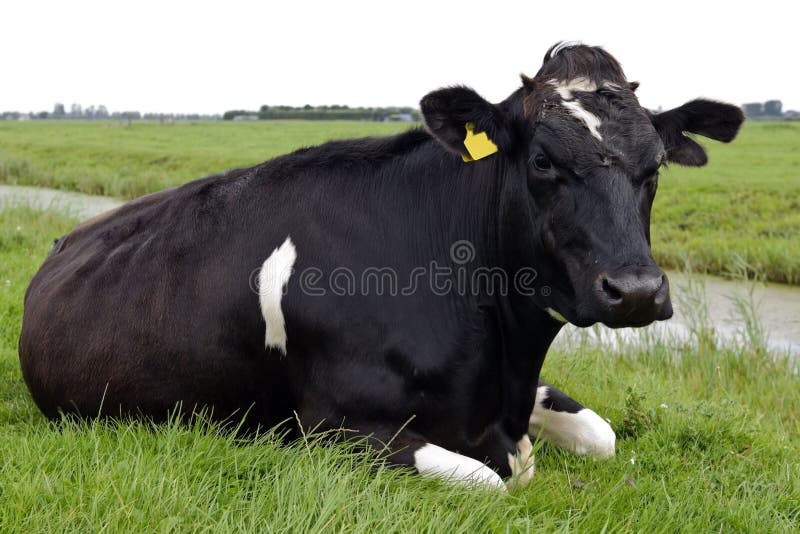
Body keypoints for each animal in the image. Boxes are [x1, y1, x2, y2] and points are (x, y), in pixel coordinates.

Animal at [19, 43, 743, 490]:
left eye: (656, 165)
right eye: (541, 159)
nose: (637, 291)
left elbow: (601, 435)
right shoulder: (331, 424)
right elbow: (485, 480)